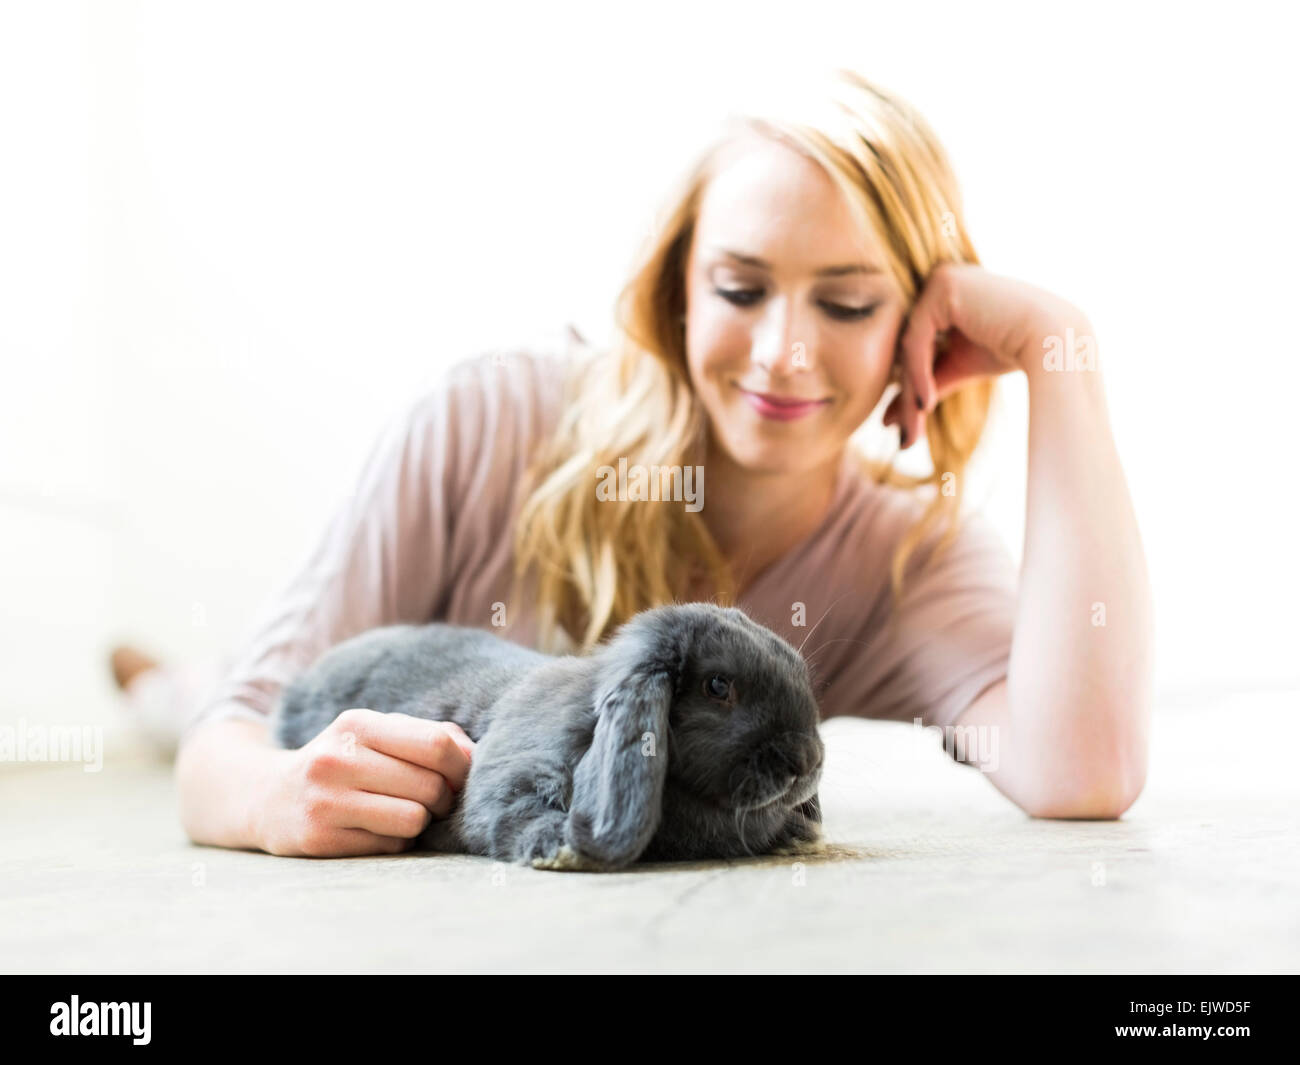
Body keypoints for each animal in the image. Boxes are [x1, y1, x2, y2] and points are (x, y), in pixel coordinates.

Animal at [269, 602, 825, 871]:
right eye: (718, 686)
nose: (808, 760)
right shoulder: (514, 780)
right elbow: (511, 815)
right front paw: (561, 848)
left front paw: (797, 836)